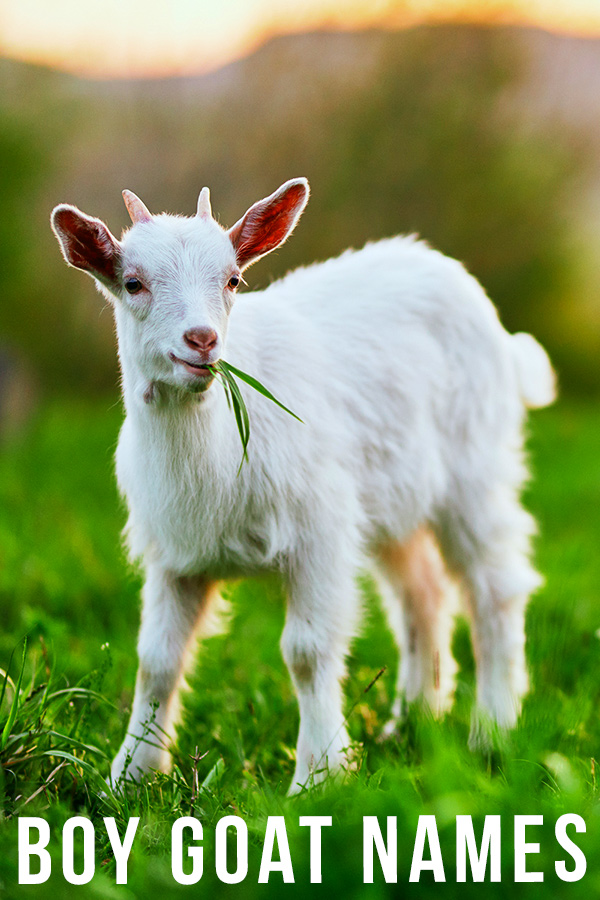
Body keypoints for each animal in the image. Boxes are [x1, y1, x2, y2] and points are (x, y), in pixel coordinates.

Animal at [51, 178, 555, 793]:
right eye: (132, 283)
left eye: (233, 280)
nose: (202, 340)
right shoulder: (175, 555)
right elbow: (157, 660)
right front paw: (130, 775)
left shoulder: (319, 532)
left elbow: (307, 652)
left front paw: (319, 775)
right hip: (393, 500)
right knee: (424, 593)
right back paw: (414, 723)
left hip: (475, 470)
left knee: (494, 588)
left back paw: (492, 733)